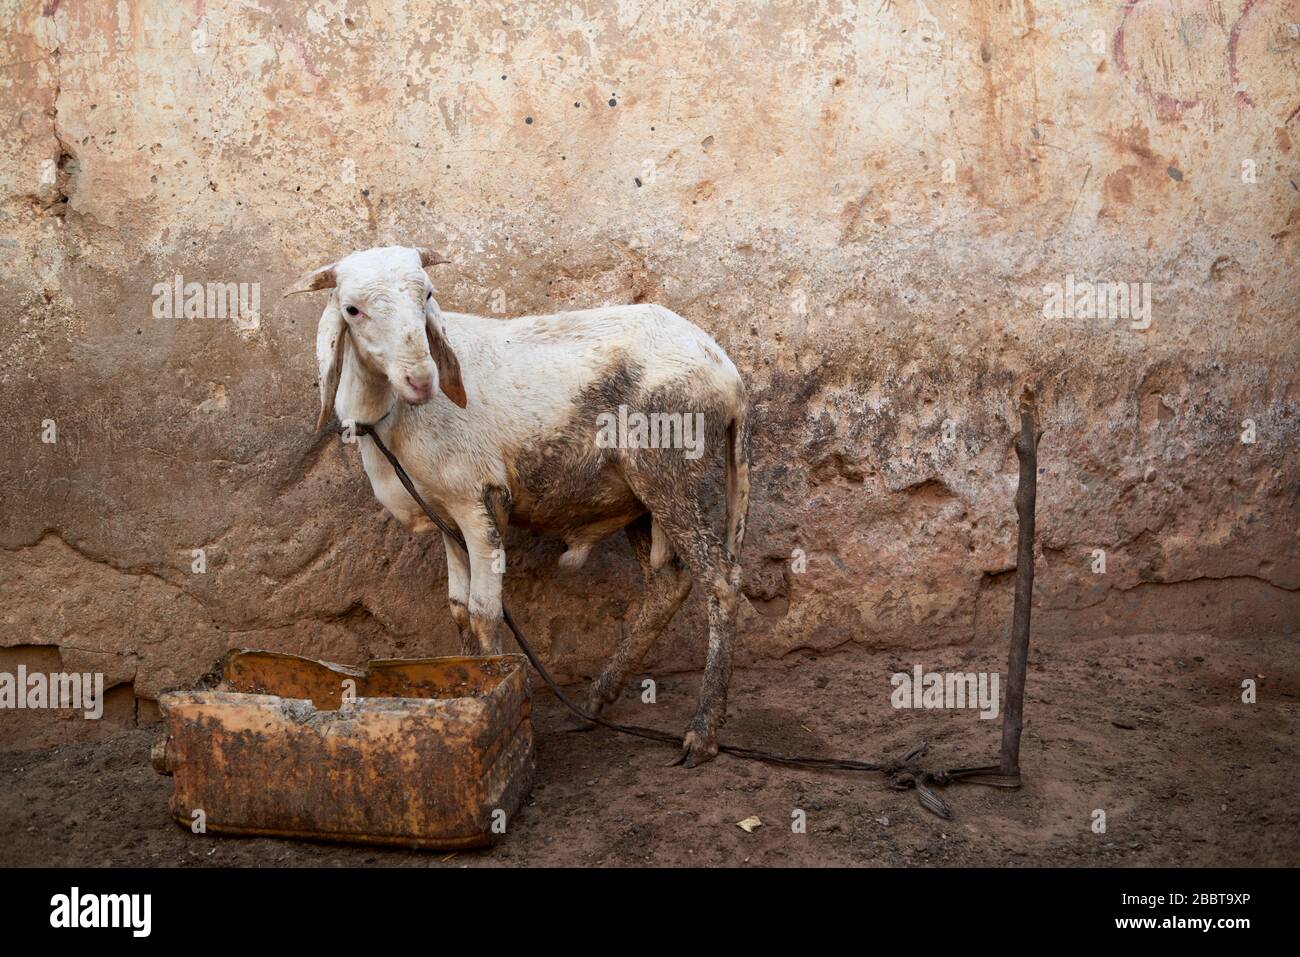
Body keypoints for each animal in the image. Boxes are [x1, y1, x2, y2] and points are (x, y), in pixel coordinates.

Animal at [285, 245, 751, 767]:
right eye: (352, 310)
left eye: (426, 296)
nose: (422, 379)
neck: (394, 416)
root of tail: (727, 373)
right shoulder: (445, 513)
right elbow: (458, 608)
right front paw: (467, 687)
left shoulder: (477, 498)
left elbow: (484, 610)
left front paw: (495, 694)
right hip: (639, 493)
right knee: (666, 585)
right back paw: (597, 698)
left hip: (669, 470)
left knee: (721, 580)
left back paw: (702, 731)